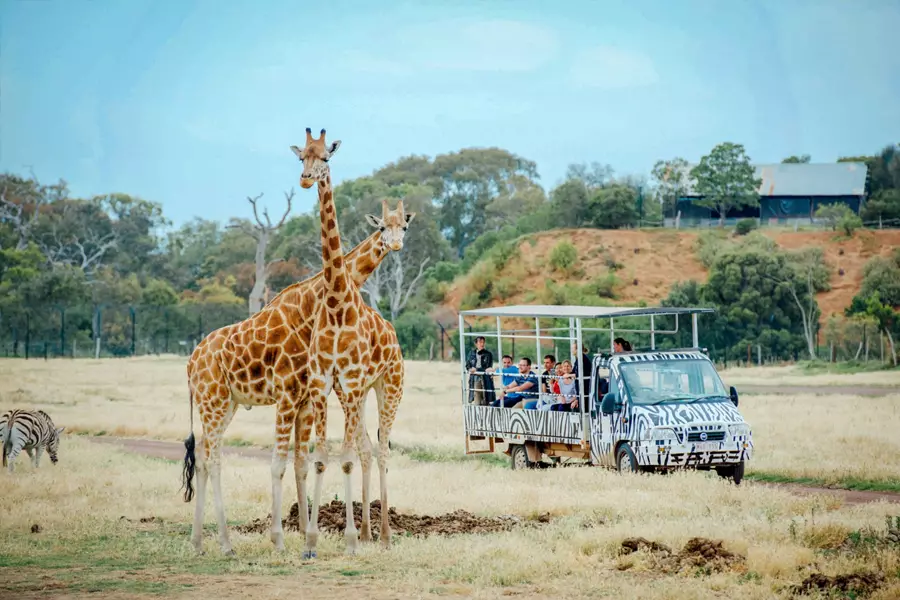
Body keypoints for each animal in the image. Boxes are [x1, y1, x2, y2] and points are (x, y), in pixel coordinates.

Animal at [182, 177, 414, 552]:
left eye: (403, 225)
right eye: (381, 226)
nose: (394, 244)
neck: (311, 306)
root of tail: (190, 362)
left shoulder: (305, 397)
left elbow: (302, 463)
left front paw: (306, 531)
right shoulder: (291, 395)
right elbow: (283, 462)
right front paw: (284, 536)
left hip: (224, 402)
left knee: (203, 456)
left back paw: (200, 540)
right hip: (213, 400)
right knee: (213, 457)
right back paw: (225, 542)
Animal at [294, 126, 406, 556]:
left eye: (326, 157)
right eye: (301, 156)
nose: (306, 179)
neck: (338, 301)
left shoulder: (354, 381)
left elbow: (343, 459)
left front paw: (350, 540)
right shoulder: (323, 383)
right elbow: (322, 457)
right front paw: (311, 541)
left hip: (388, 387)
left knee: (383, 447)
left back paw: (385, 536)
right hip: (353, 394)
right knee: (365, 448)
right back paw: (372, 532)